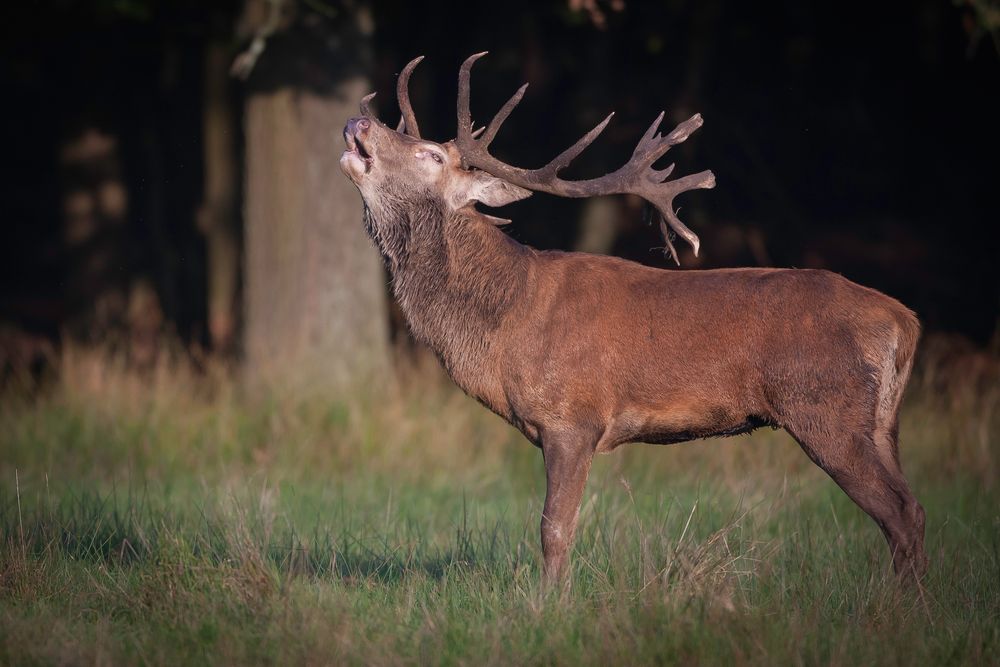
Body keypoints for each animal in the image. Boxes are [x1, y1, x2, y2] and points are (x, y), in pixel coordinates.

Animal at [339, 53, 928, 585]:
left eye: (432, 156)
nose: (357, 121)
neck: (503, 325)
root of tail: (905, 321)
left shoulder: (572, 417)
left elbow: (555, 528)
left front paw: (549, 608)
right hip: (881, 423)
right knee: (914, 508)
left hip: (825, 408)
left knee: (900, 513)